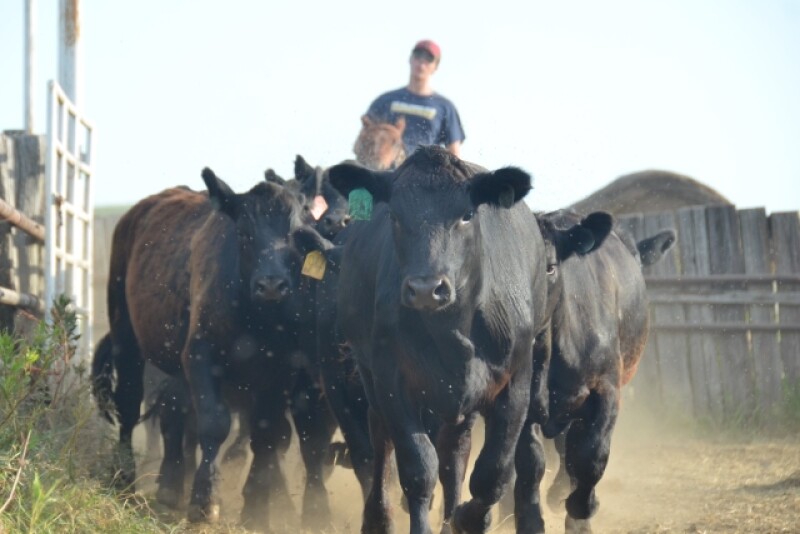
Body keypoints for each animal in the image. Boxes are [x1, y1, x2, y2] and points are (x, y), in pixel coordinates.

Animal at [91, 169, 336, 530]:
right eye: (244, 233)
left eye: (296, 236)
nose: (272, 285)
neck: (255, 319)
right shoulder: (200, 356)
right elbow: (214, 423)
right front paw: (205, 500)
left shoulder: (279, 374)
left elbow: (267, 434)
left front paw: (256, 509)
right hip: (127, 336)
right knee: (130, 405)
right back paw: (125, 478)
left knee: (175, 414)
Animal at [327, 146, 550, 534]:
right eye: (395, 216)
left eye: (466, 215)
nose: (426, 289)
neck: (453, 329)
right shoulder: (392, 382)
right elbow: (419, 470)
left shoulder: (515, 382)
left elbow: (492, 474)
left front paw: (467, 518)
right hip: (370, 374)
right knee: (382, 439)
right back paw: (379, 518)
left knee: (454, 455)